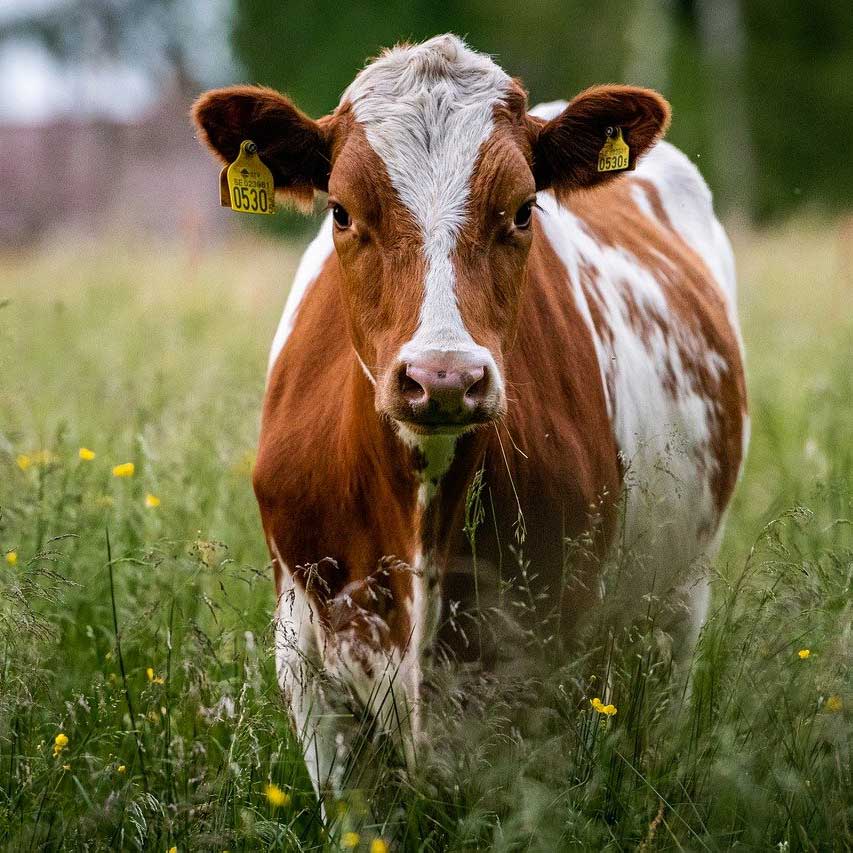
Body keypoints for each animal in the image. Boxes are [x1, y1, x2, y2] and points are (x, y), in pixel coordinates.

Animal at [192, 33, 748, 808]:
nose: (443, 377)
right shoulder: (308, 668)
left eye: (522, 210)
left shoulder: (545, 669)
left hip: (678, 602)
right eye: (341, 211)